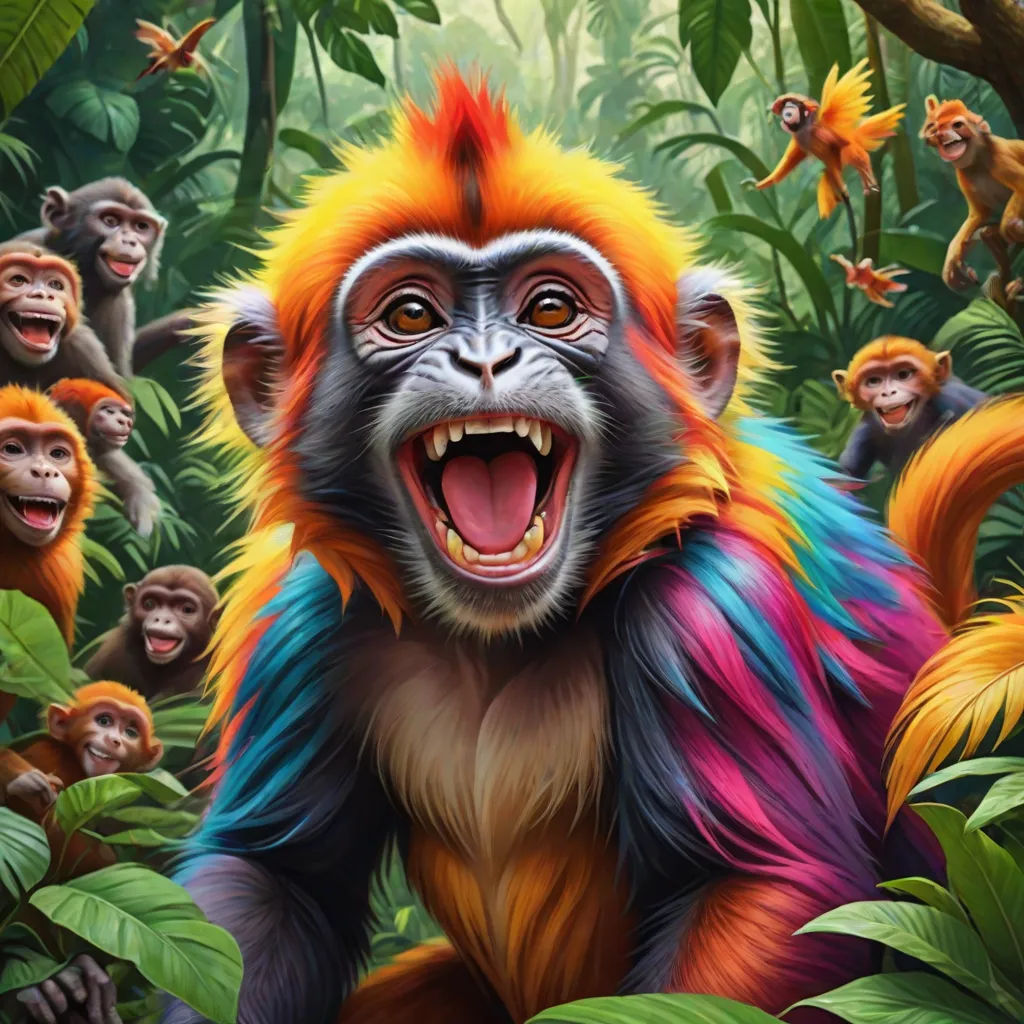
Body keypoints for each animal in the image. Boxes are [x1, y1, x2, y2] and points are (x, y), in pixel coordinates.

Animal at [756, 59, 905, 218]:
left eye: (791, 109)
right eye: (785, 110)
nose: (786, 114)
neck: (804, 127)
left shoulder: (820, 131)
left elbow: (841, 143)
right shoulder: (800, 139)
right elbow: (788, 162)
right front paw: (765, 183)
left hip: (851, 150)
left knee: (857, 157)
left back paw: (867, 181)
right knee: (831, 172)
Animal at [921, 96, 1024, 292]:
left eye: (957, 125)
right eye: (935, 129)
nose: (940, 135)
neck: (976, 160)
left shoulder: (998, 156)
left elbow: (1021, 185)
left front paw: (1008, 226)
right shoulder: (962, 173)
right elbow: (978, 214)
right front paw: (952, 260)